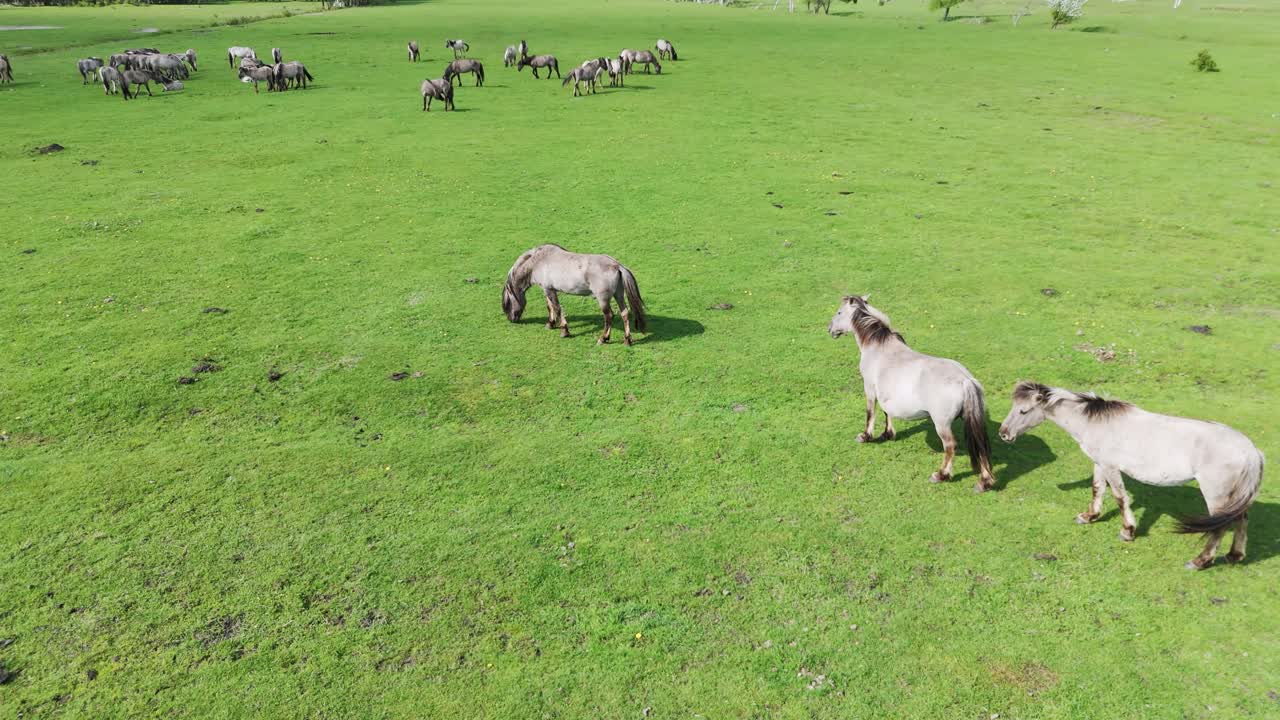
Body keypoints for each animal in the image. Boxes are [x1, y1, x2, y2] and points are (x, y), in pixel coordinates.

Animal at [502, 244, 647, 346]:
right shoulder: (547, 289)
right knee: (624, 313)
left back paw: (603, 338)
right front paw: (550, 324)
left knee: (609, 316)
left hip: (603, 299)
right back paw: (627, 340)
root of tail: (617, 265)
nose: (512, 319)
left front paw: (564, 331)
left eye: (507, 303)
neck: (538, 260)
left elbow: (557, 309)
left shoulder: (549, 289)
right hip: (619, 295)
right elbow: (550, 307)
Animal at [828, 295, 997, 492]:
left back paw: (941, 475)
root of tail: (965, 380)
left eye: (839, 312)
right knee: (980, 446)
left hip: (942, 424)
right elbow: (887, 412)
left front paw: (865, 436)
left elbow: (871, 413)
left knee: (950, 446)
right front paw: (887, 434)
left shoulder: (869, 388)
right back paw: (984, 482)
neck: (878, 346)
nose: (830, 329)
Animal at [998, 382, 1265, 570]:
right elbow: (1097, 489)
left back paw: (1200, 561)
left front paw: (1128, 531)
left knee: (1220, 527)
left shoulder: (1111, 467)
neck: (1096, 423)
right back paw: (1234, 556)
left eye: (1023, 410)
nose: (1003, 434)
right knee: (1242, 519)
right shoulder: (1099, 464)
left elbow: (1119, 497)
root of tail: (1252, 452)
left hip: (1215, 494)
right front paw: (1089, 517)